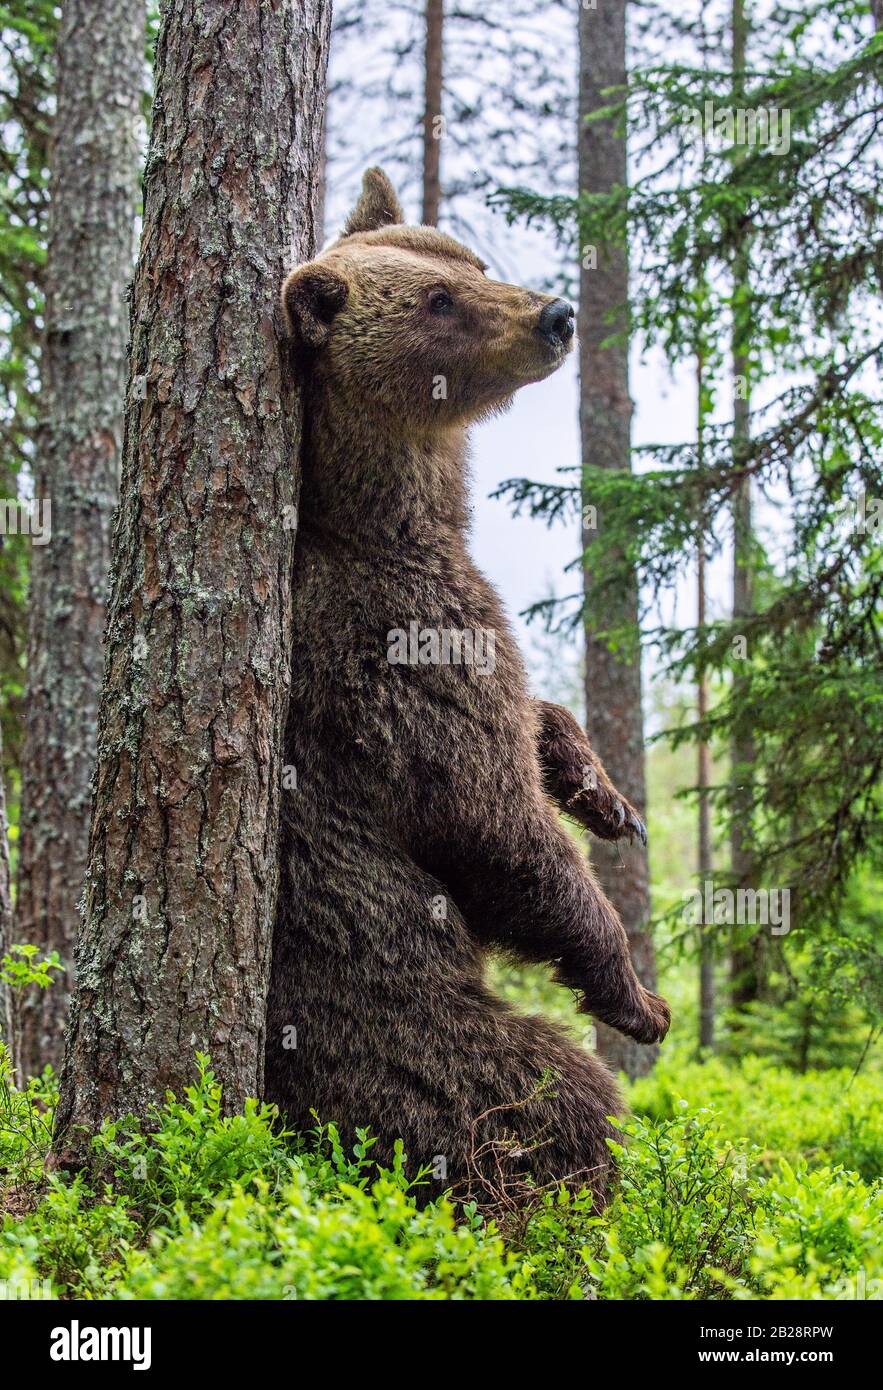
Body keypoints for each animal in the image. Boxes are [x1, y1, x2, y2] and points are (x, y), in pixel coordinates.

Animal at [264, 168, 669, 1207]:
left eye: (469, 260)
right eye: (437, 302)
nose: (555, 313)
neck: (399, 519)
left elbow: (529, 715)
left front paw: (603, 795)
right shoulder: (395, 648)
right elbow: (493, 823)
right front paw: (637, 997)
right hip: (397, 1031)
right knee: (547, 1094)